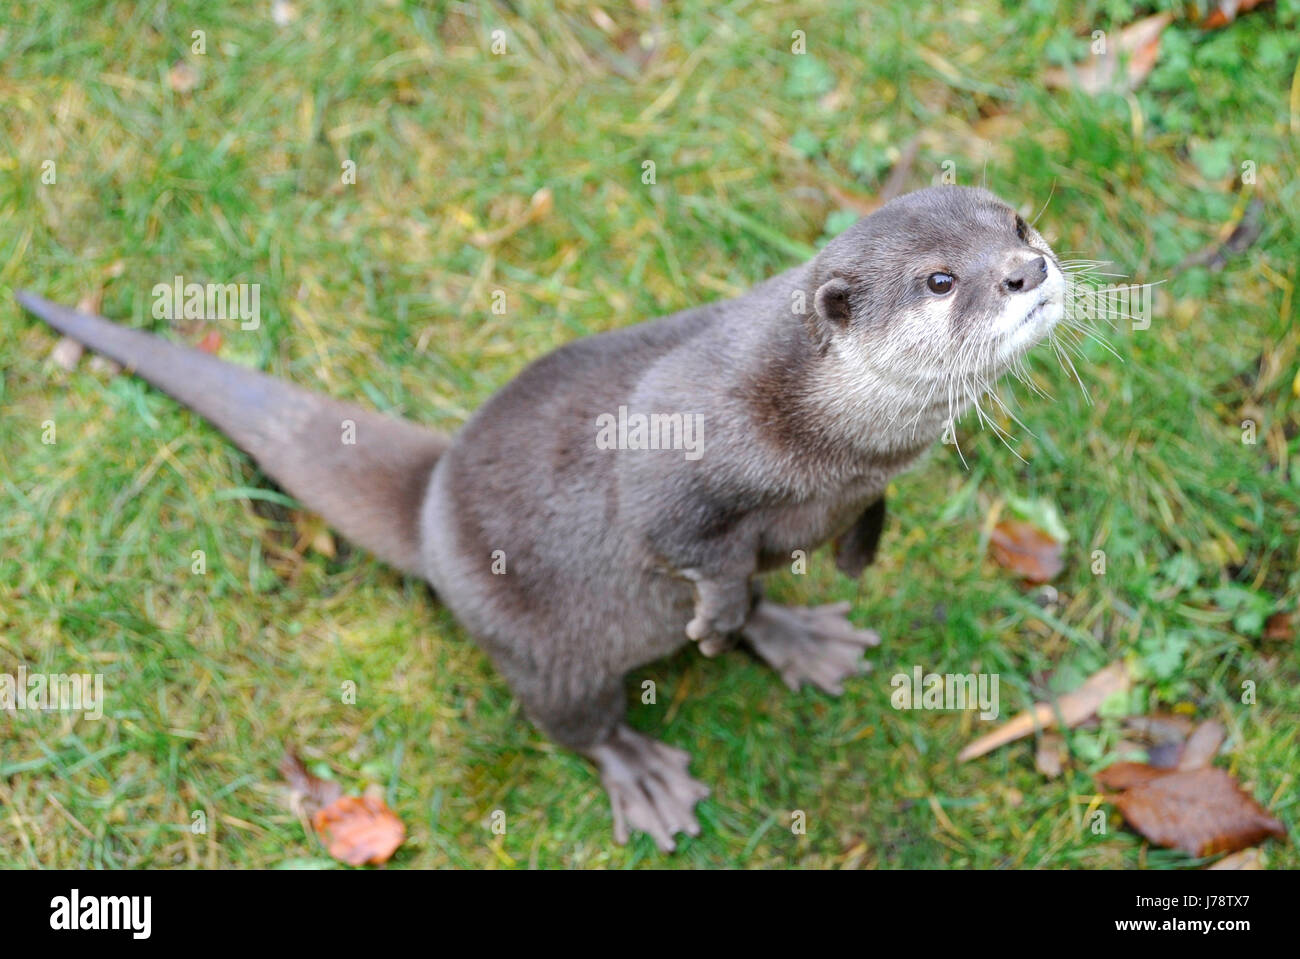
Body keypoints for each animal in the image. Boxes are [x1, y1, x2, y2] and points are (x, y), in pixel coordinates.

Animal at [18, 185, 1066, 852]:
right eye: (940, 279)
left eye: (1017, 221)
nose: (1028, 268)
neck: (842, 441)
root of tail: (431, 500)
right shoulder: (676, 440)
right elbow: (684, 538)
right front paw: (722, 606)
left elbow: (840, 526)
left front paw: (856, 551)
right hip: (535, 645)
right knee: (577, 722)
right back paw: (645, 770)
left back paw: (803, 637)